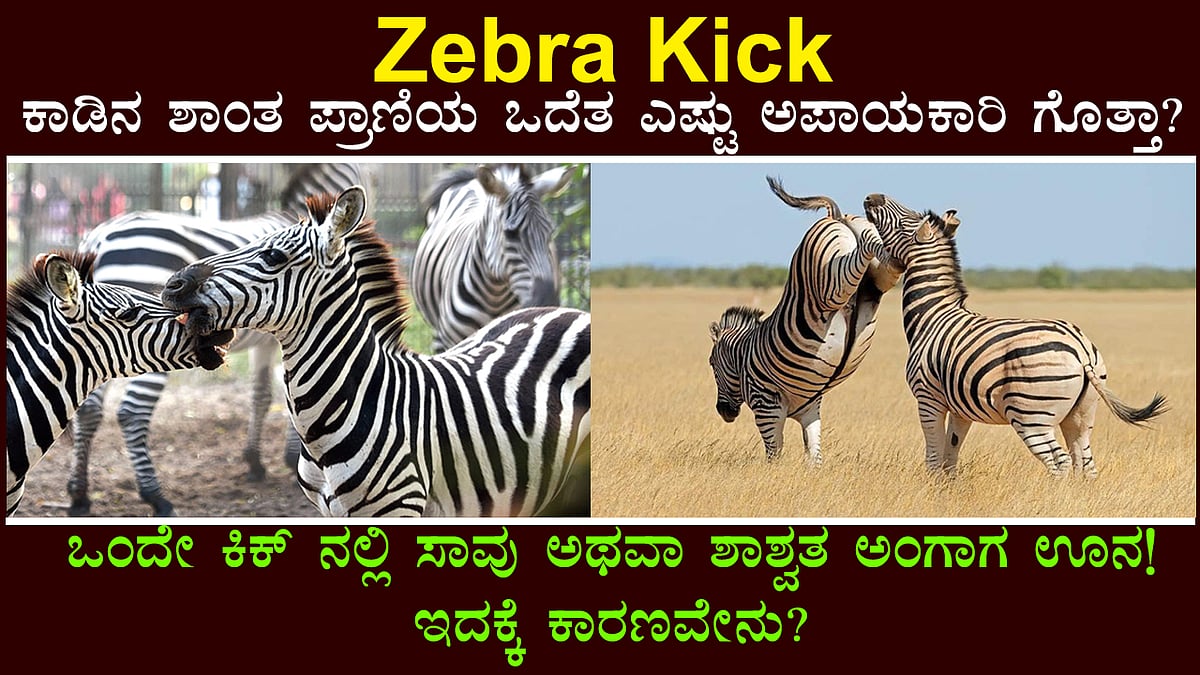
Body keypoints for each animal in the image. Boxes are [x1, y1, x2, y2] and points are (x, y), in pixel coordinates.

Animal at [67, 163, 360, 516]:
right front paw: (290, 459)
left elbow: (261, 395)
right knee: (131, 412)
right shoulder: (280, 335)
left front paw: (255, 463)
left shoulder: (266, 340)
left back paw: (79, 495)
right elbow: (280, 394)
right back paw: (155, 495)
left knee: (88, 410)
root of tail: (98, 236)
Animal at [707, 177, 903, 464]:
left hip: (827, 288)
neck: (742, 358)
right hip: (873, 270)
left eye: (711, 364)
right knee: (881, 259)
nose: (724, 412)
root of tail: (835, 216)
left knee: (856, 261)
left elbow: (773, 453)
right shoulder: (811, 408)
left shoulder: (766, 405)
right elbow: (814, 452)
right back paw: (902, 253)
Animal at [862, 193, 1168, 477]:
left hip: (1030, 415)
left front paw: (932, 489)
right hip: (1081, 414)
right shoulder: (960, 409)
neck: (933, 315)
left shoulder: (928, 397)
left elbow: (934, 458)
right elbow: (951, 456)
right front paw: (946, 491)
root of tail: (1080, 349)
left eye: (904, 220)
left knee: (1060, 461)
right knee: (1085, 462)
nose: (871, 197)